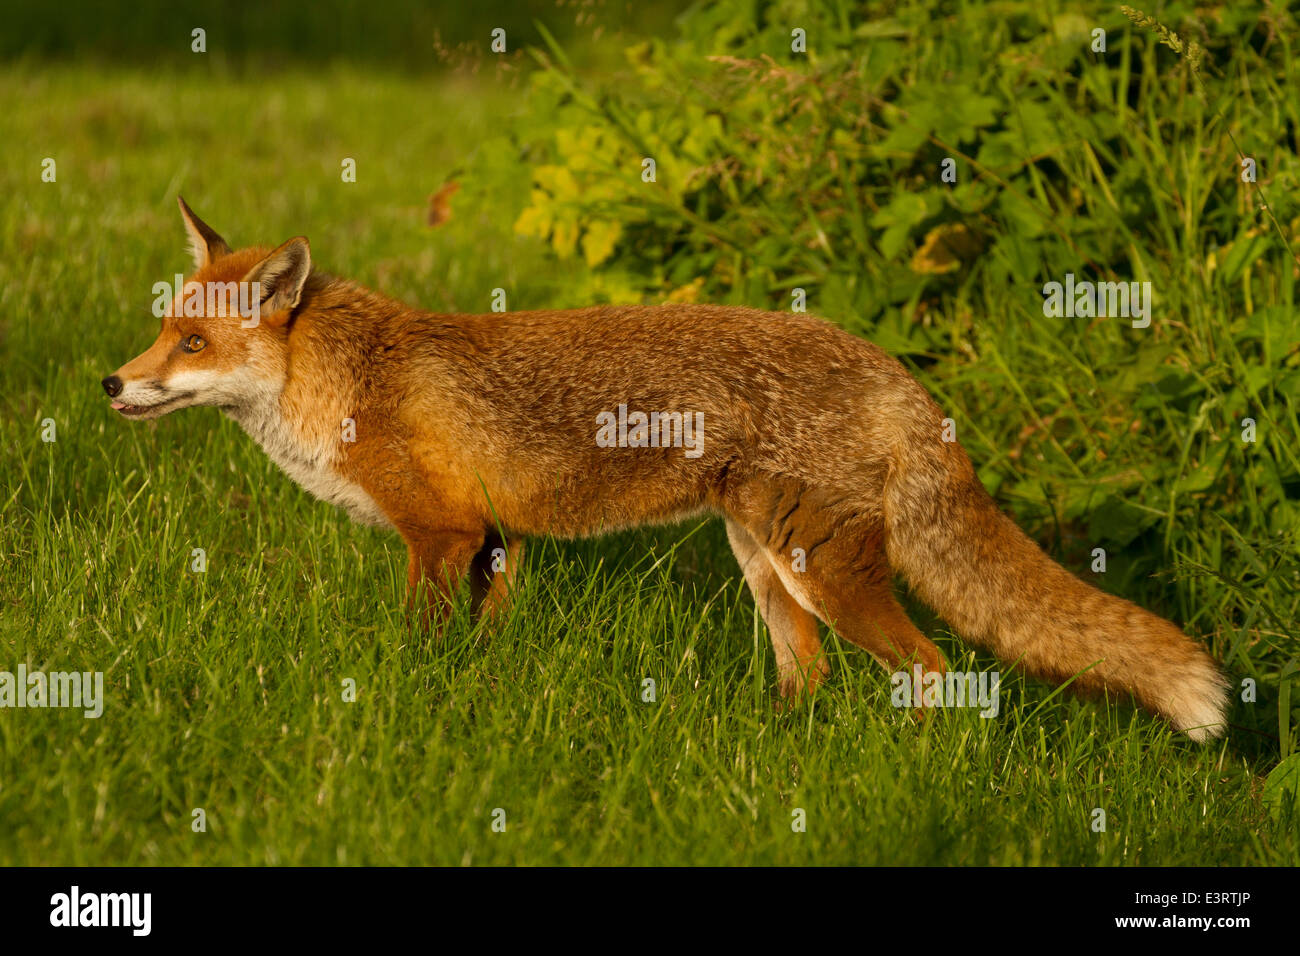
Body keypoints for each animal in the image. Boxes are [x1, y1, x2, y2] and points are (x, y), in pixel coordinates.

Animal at [103, 198, 1229, 740]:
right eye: (163, 329)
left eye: (192, 345)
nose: (112, 383)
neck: (341, 377)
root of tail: (888, 365)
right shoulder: (497, 540)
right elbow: (484, 645)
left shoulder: (444, 533)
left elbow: (420, 647)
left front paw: (406, 698)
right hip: (764, 562)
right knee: (809, 675)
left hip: (821, 566)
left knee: (933, 671)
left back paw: (917, 768)